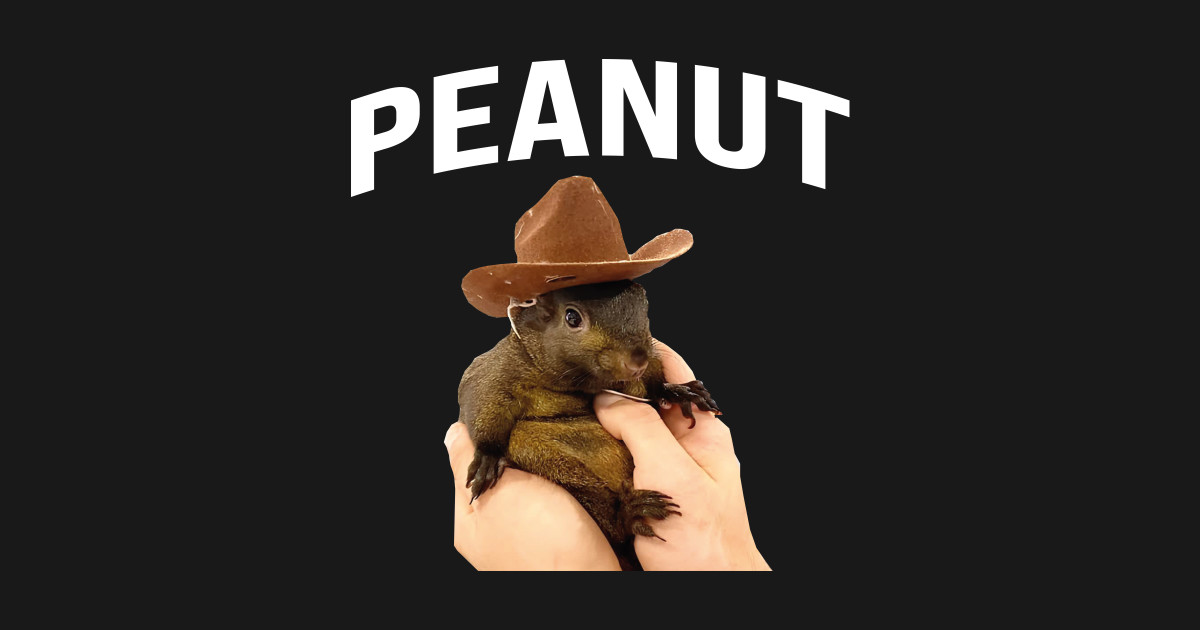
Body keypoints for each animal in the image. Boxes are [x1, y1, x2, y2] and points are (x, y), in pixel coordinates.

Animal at [457, 280, 719, 570]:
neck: (580, 383)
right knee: (612, 526)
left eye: (644, 305)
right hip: (541, 454)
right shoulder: (494, 372)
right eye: (572, 318)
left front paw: (677, 391)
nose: (637, 360)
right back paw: (627, 516)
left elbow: (652, 384)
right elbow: (482, 401)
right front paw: (488, 456)